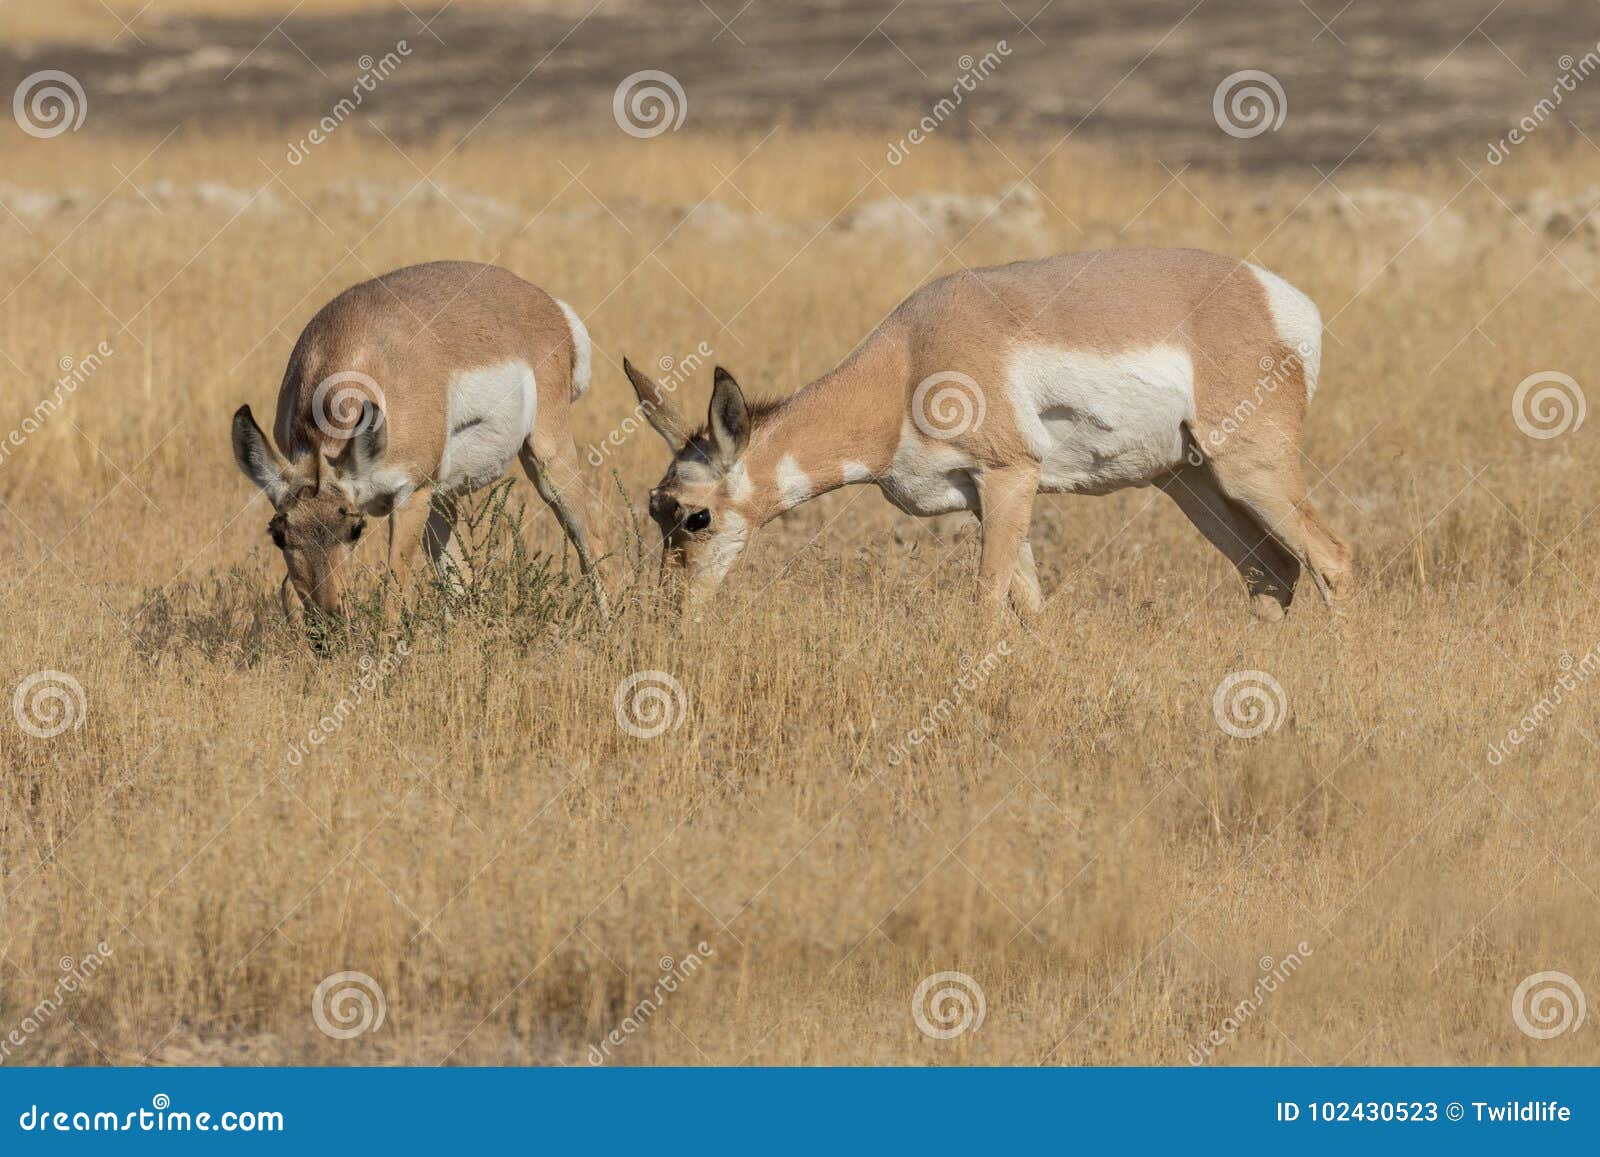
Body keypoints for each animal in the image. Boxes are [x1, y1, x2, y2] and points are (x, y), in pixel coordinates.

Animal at [231, 260, 611, 632]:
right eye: (278, 535)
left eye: (355, 530)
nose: (328, 625)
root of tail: (547, 303)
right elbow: (287, 591)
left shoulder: (412, 494)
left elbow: (393, 591)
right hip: (444, 498)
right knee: (461, 580)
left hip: (546, 460)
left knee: (592, 545)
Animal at [624, 247, 1351, 618]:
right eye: (654, 509)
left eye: (695, 516)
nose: (667, 612)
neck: (907, 364)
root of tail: (1282, 300)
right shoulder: (987, 498)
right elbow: (1030, 606)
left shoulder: (1009, 476)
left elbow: (985, 600)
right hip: (1193, 484)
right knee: (1272, 571)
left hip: (1248, 470)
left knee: (1332, 558)